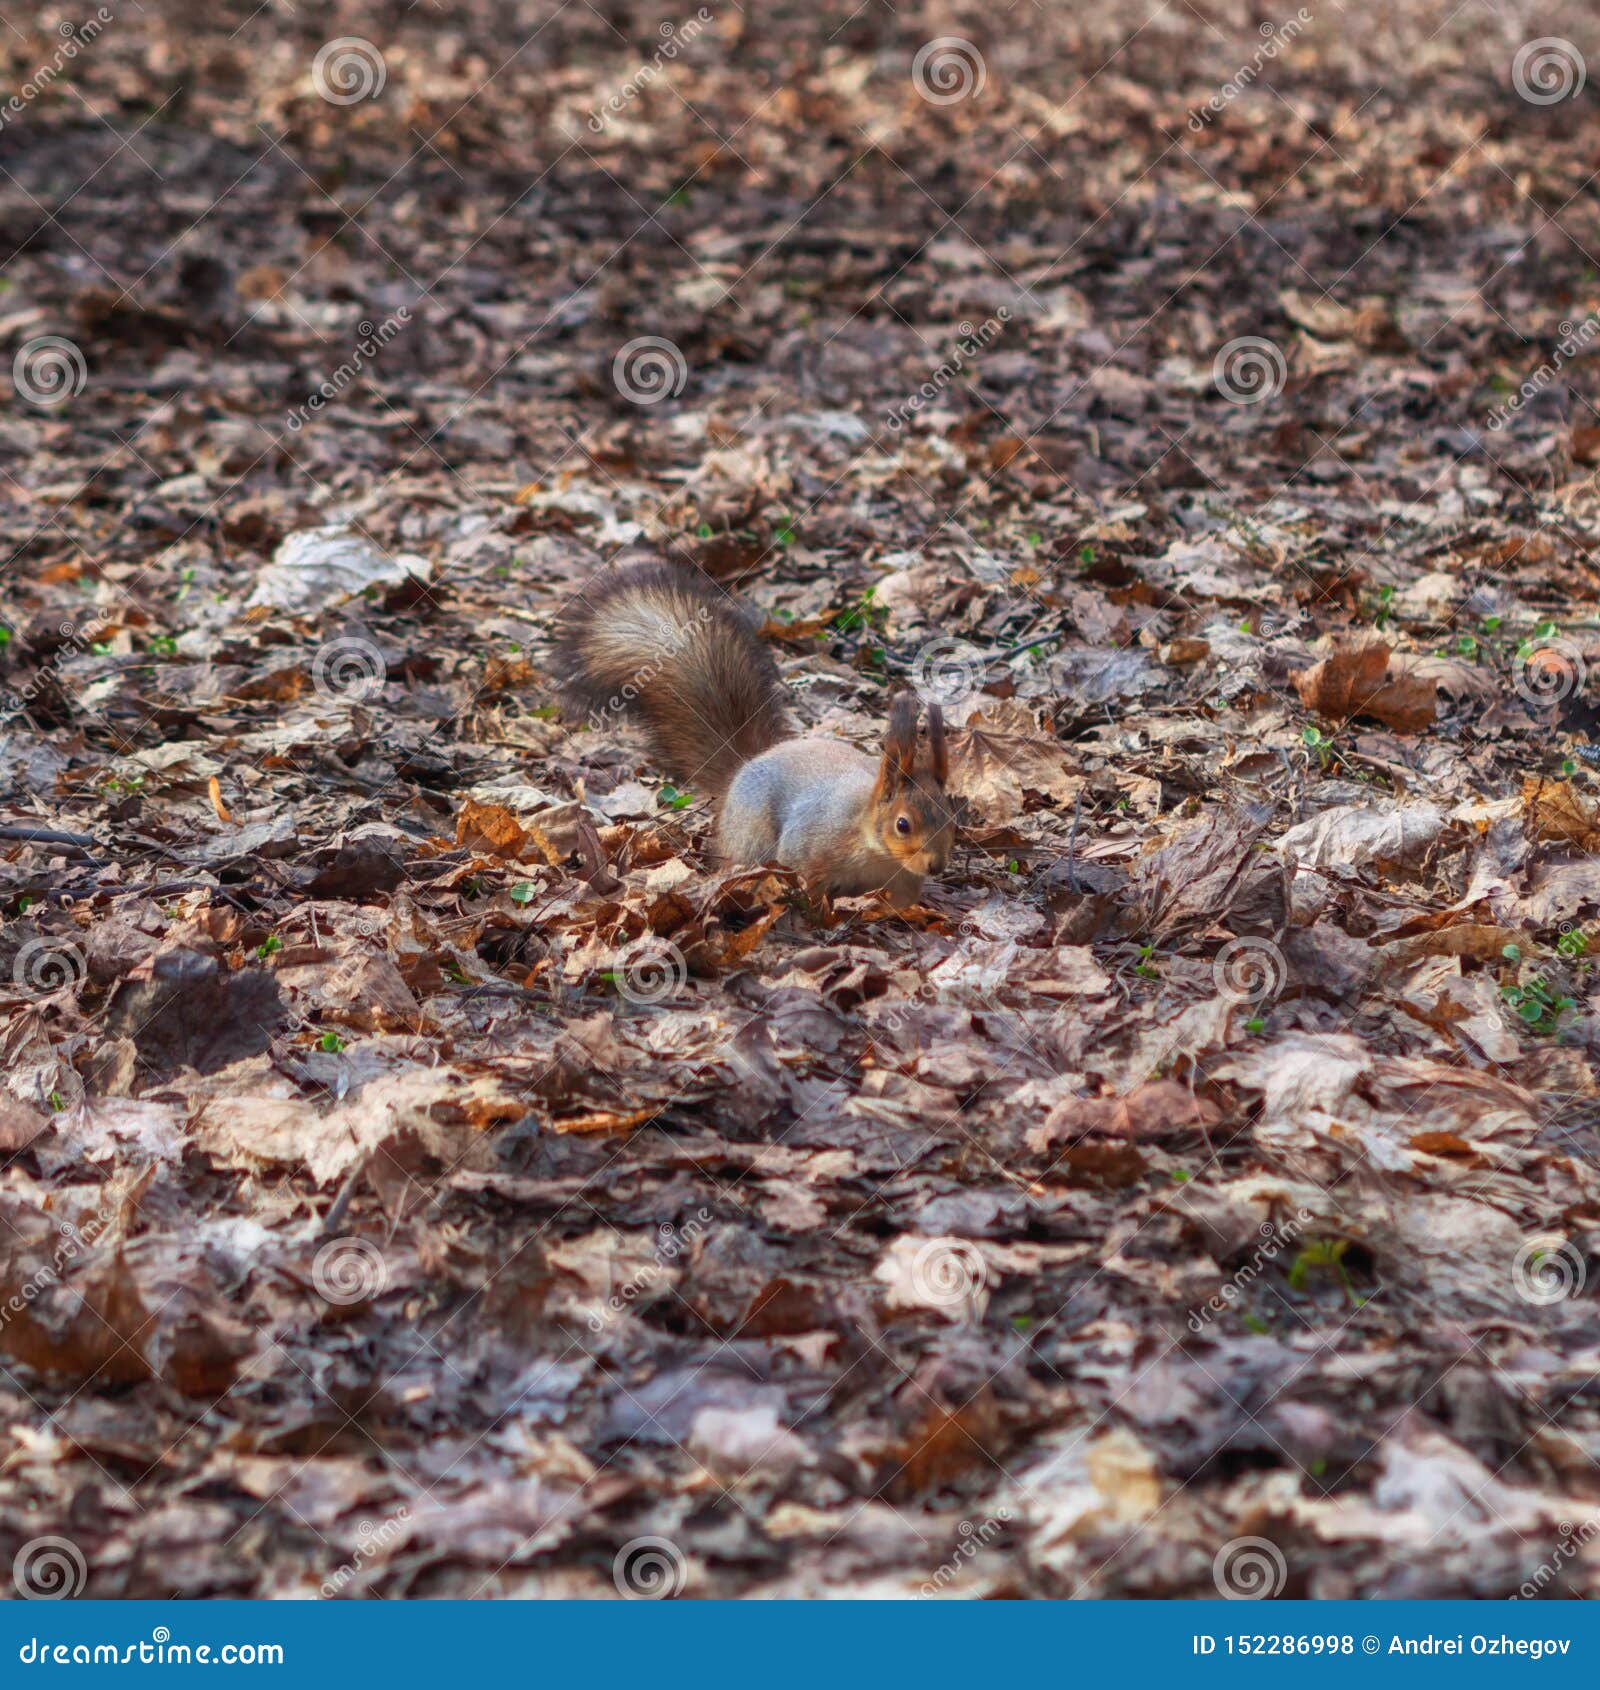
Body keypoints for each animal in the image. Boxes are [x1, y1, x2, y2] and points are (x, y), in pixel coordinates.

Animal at [554, 560, 956, 903]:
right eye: (903, 824)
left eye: (954, 817)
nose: (936, 865)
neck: (874, 847)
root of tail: (744, 769)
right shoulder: (811, 848)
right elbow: (808, 888)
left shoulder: (903, 884)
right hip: (752, 838)